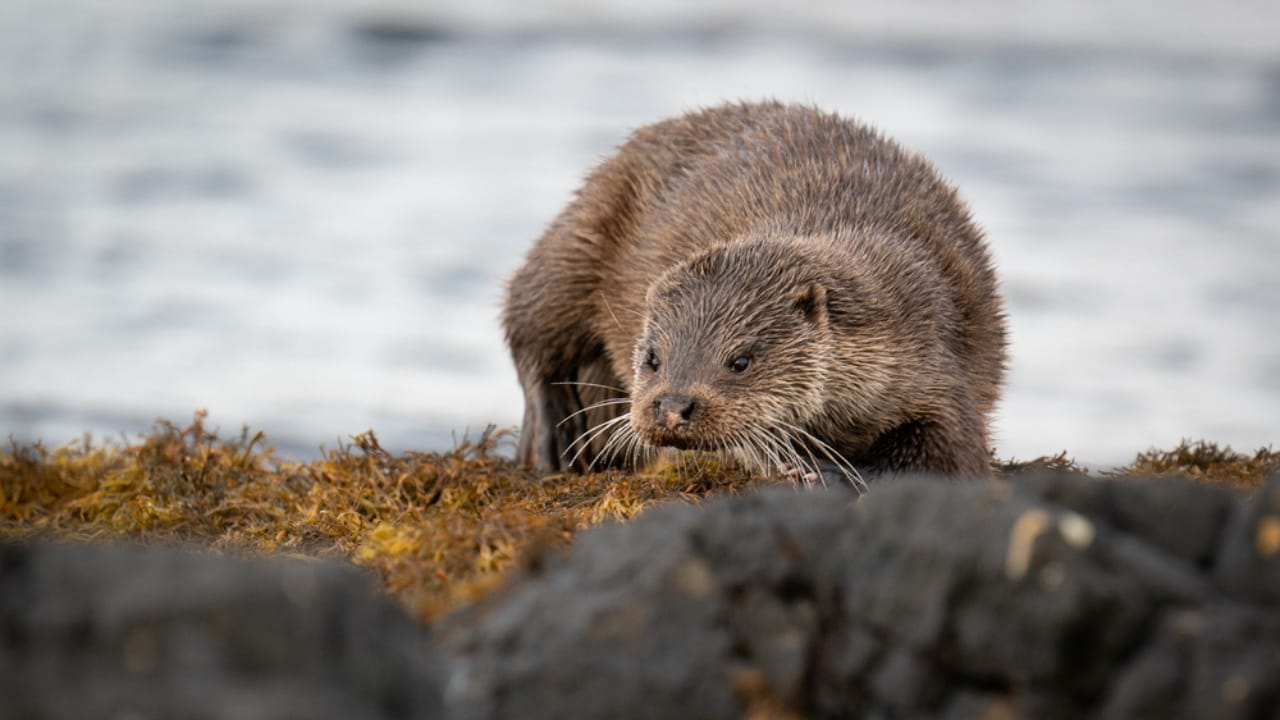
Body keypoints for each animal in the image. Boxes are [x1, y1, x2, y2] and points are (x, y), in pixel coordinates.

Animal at [502, 101, 1007, 485]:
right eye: (652, 359)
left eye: (741, 361)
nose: (671, 407)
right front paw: (802, 463)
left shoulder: (941, 357)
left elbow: (948, 454)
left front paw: (835, 469)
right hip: (585, 228)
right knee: (528, 316)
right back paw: (554, 439)